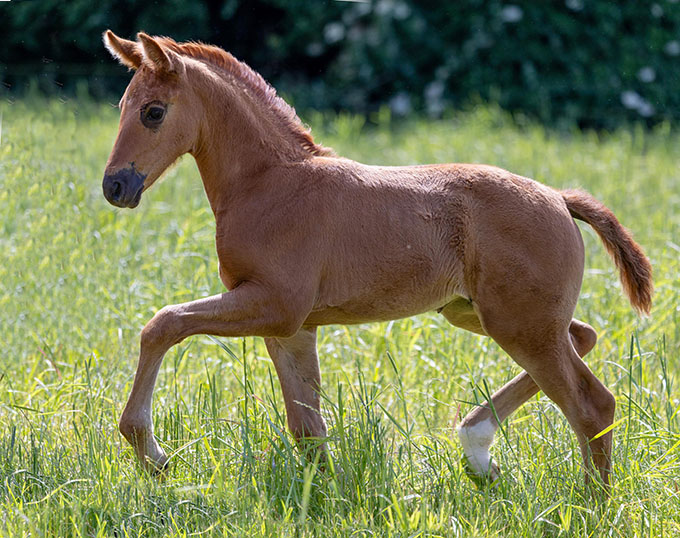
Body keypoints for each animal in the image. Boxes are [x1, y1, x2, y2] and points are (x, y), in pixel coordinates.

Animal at [101, 30, 652, 488]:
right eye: (122, 106)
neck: (268, 184)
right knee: (583, 336)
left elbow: (163, 324)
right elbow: (307, 427)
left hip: (520, 324)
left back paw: (589, 502)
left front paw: (151, 453)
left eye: (153, 112)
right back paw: (478, 449)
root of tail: (559, 198)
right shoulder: (290, 326)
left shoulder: (274, 304)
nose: (115, 186)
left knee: (593, 404)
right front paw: (323, 498)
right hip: (484, 314)